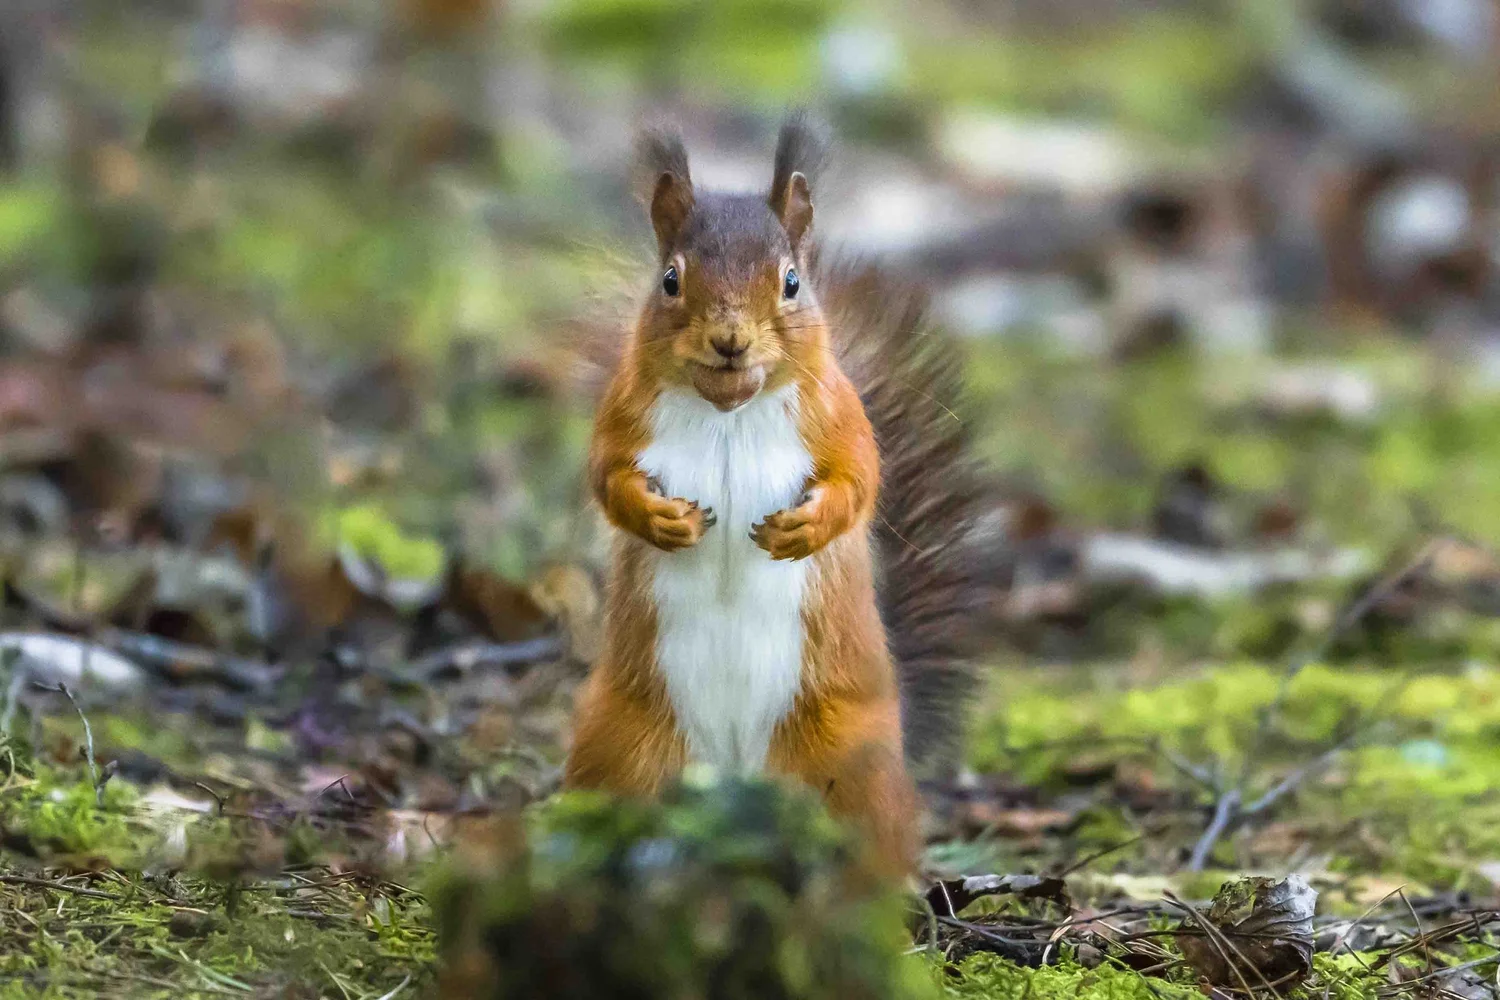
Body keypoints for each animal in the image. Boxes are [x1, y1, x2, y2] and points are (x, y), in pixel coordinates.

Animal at [564, 114, 993, 876]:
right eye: (670, 280)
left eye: (792, 282)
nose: (730, 339)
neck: (730, 412)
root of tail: (733, 780)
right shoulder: (621, 421)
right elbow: (608, 482)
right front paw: (665, 520)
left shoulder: (844, 423)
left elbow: (859, 485)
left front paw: (801, 532)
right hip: (618, 746)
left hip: (851, 765)